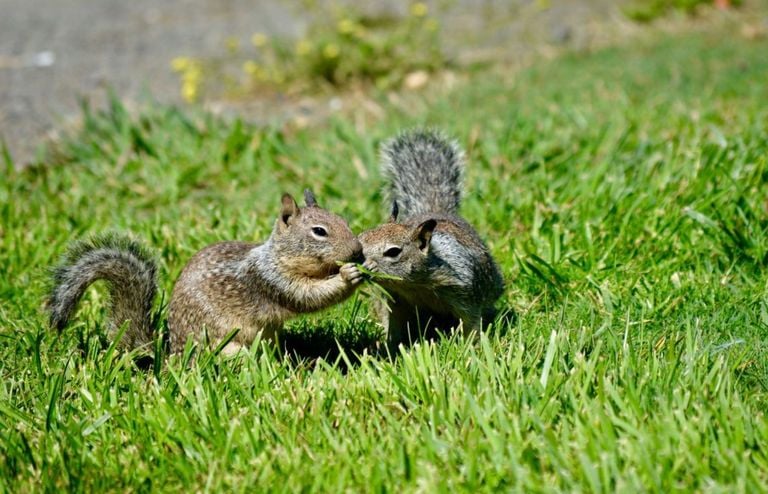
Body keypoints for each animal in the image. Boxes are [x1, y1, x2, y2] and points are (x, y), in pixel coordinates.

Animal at [47, 190, 365, 355]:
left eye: (342, 219)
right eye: (319, 231)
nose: (357, 252)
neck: (278, 256)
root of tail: (172, 357)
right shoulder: (271, 280)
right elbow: (308, 296)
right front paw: (349, 276)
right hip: (227, 346)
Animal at [358, 129, 504, 349]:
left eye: (393, 252)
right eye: (360, 238)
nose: (362, 266)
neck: (413, 284)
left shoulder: (465, 292)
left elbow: (470, 322)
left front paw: (471, 348)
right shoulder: (394, 299)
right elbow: (393, 326)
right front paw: (388, 345)